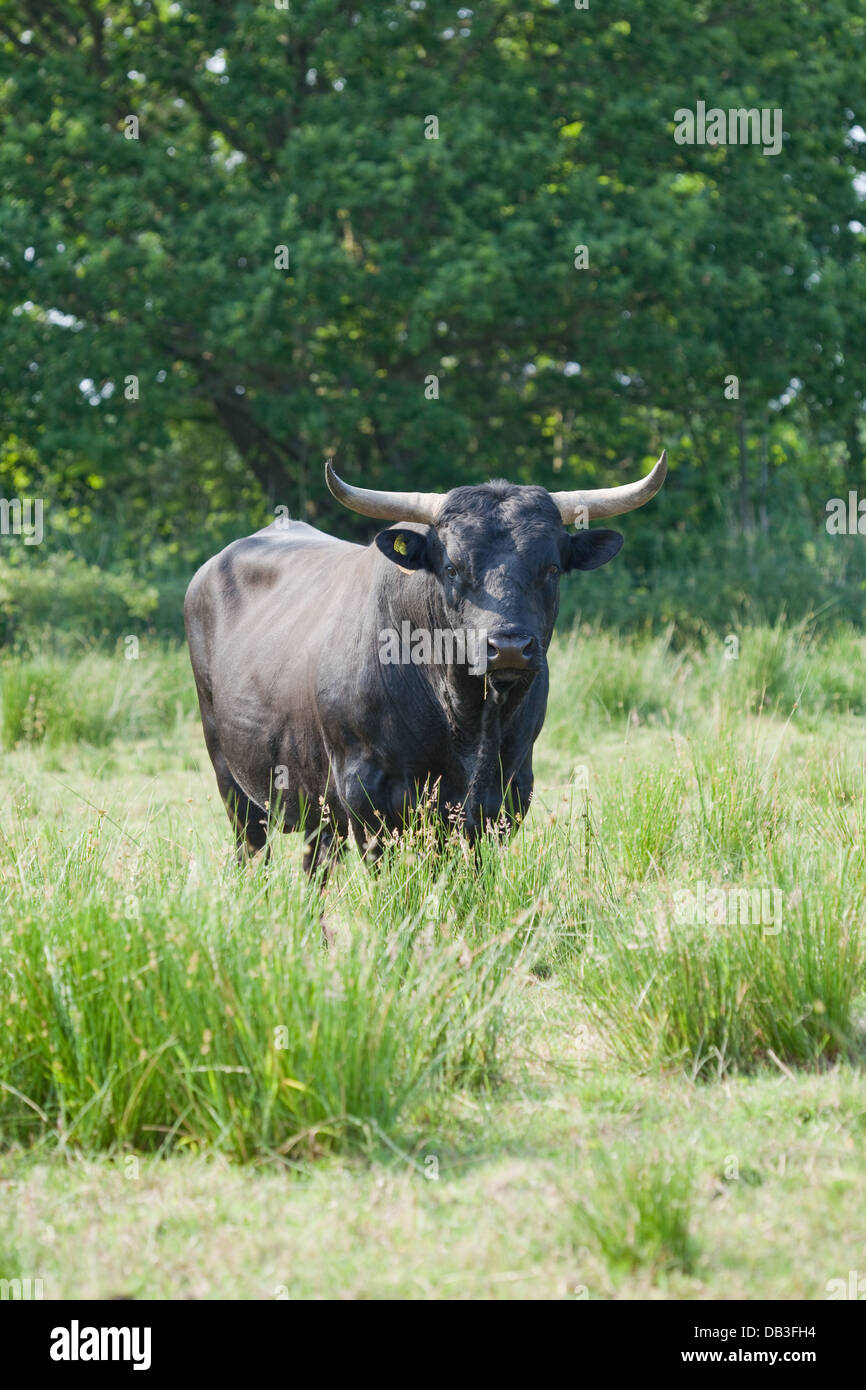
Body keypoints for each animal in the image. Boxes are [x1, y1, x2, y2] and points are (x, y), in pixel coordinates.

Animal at [184, 454, 667, 873]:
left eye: (551, 567)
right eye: (452, 568)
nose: (509, 646)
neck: (465, 716)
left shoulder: (506, 793)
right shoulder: (367, 795)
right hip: (232, 780)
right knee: (253, 856)